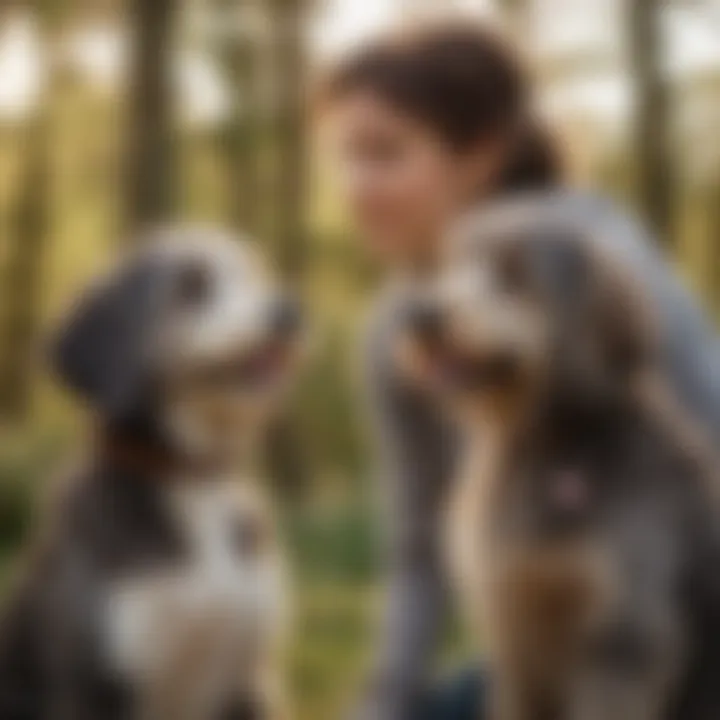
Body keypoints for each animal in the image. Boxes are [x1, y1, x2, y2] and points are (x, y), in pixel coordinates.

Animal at [0, 226, 300, 720]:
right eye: (192, 286)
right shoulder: (95, 682)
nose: (289, 312)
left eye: (253, 273)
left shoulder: (252, 675)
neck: (190, 478)